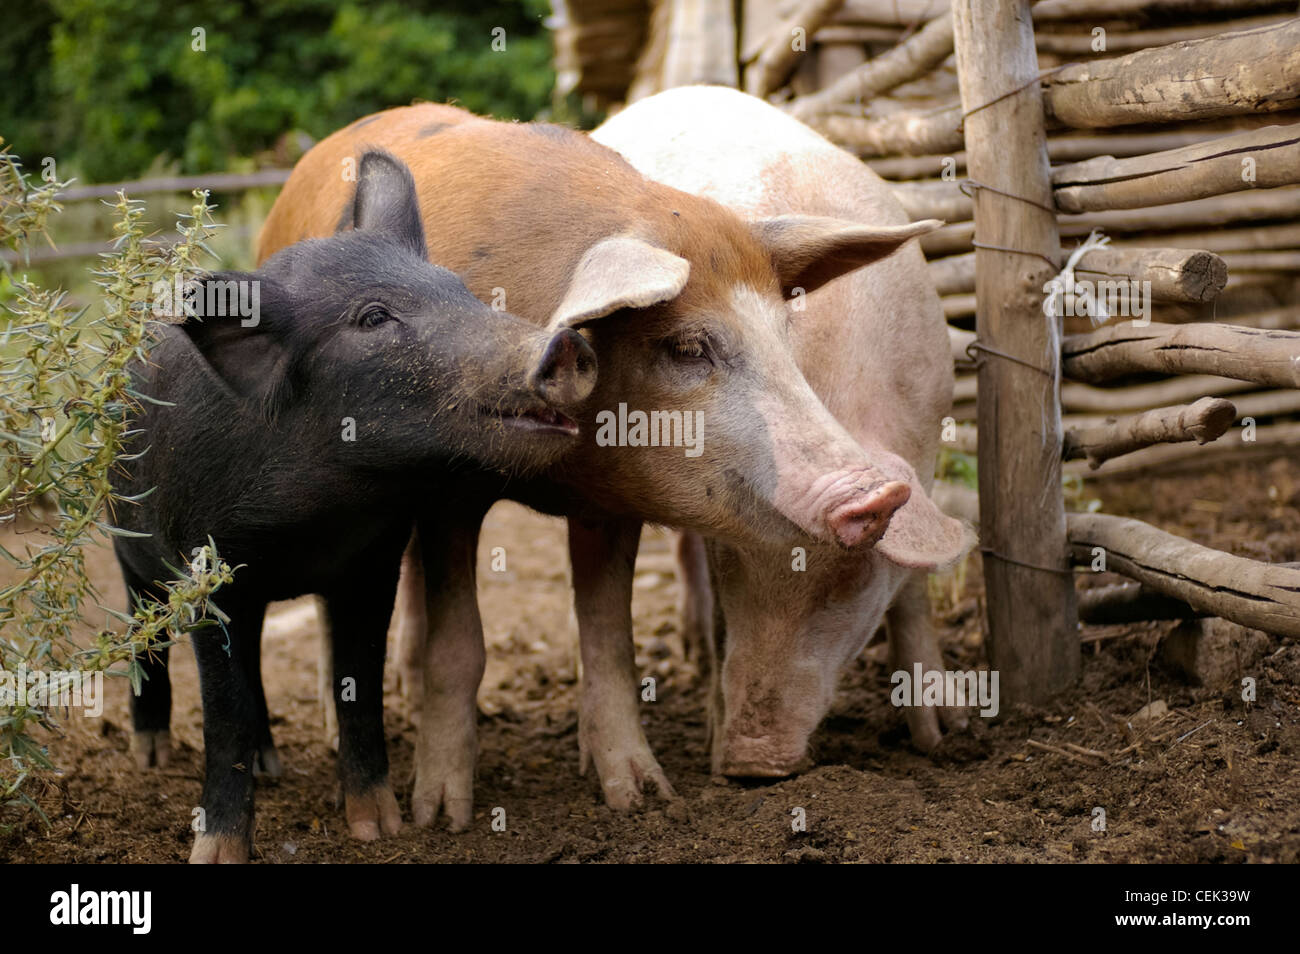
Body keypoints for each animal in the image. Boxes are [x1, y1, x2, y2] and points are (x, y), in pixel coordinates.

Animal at [114, 151, 596, 862]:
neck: (314, 521)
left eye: (457, 287)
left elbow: (360, 687)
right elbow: (223, 717)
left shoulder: (374, 561)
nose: (565, 346)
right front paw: (215, 854)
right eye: (372, 318)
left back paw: (272, 765)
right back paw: (149, 754)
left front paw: (381, 828)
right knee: (142, 628)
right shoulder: (206, 565)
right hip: (129, 547)